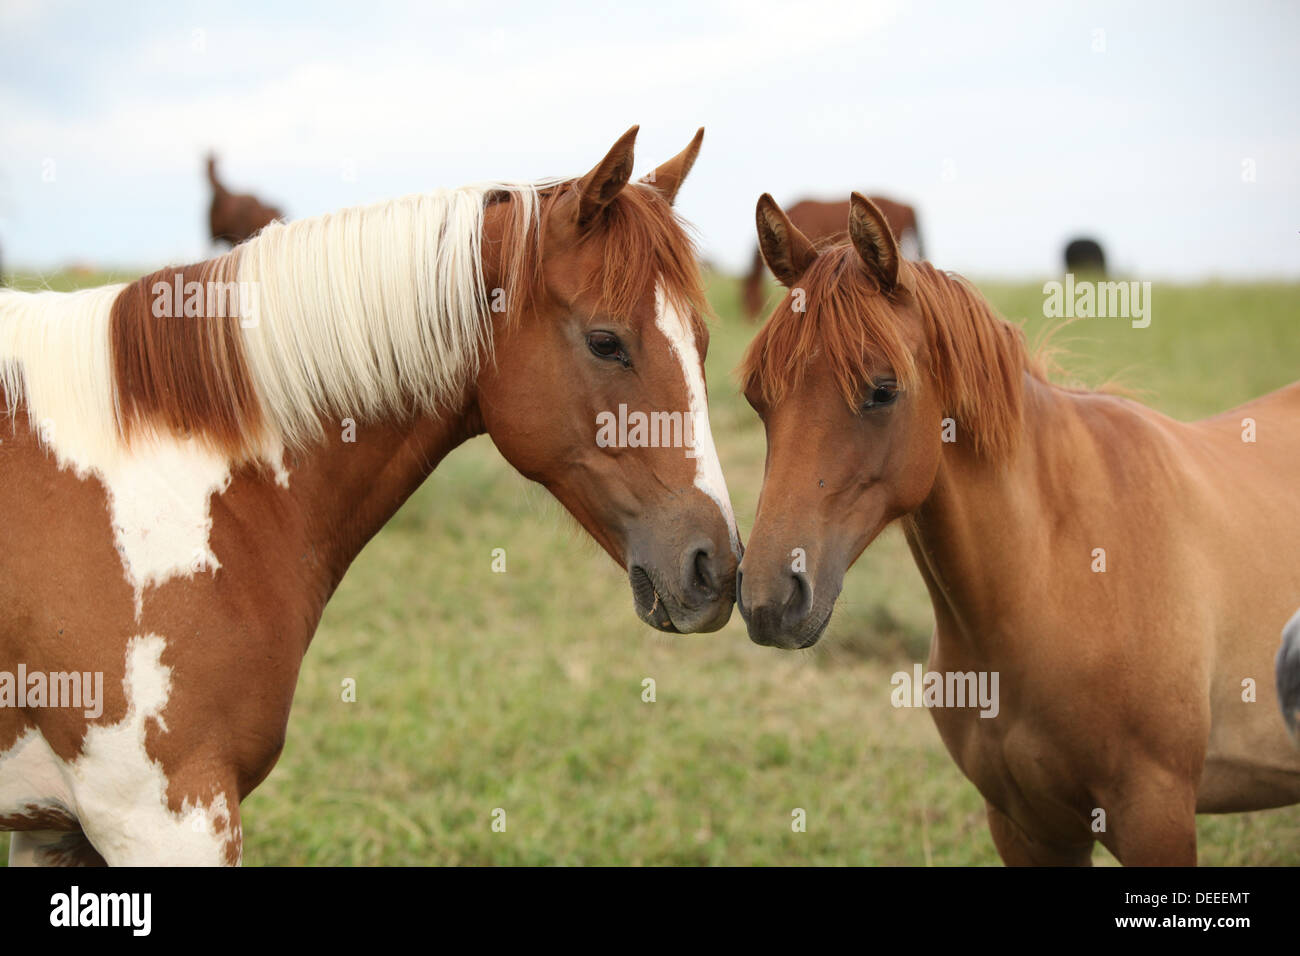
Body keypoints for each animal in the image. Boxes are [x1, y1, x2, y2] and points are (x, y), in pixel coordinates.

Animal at [0, 126, 740, 865]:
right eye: (606, 342)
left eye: (703, 342)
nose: (716, 567)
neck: (178, 482)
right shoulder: (165, 816)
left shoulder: (60, 827)